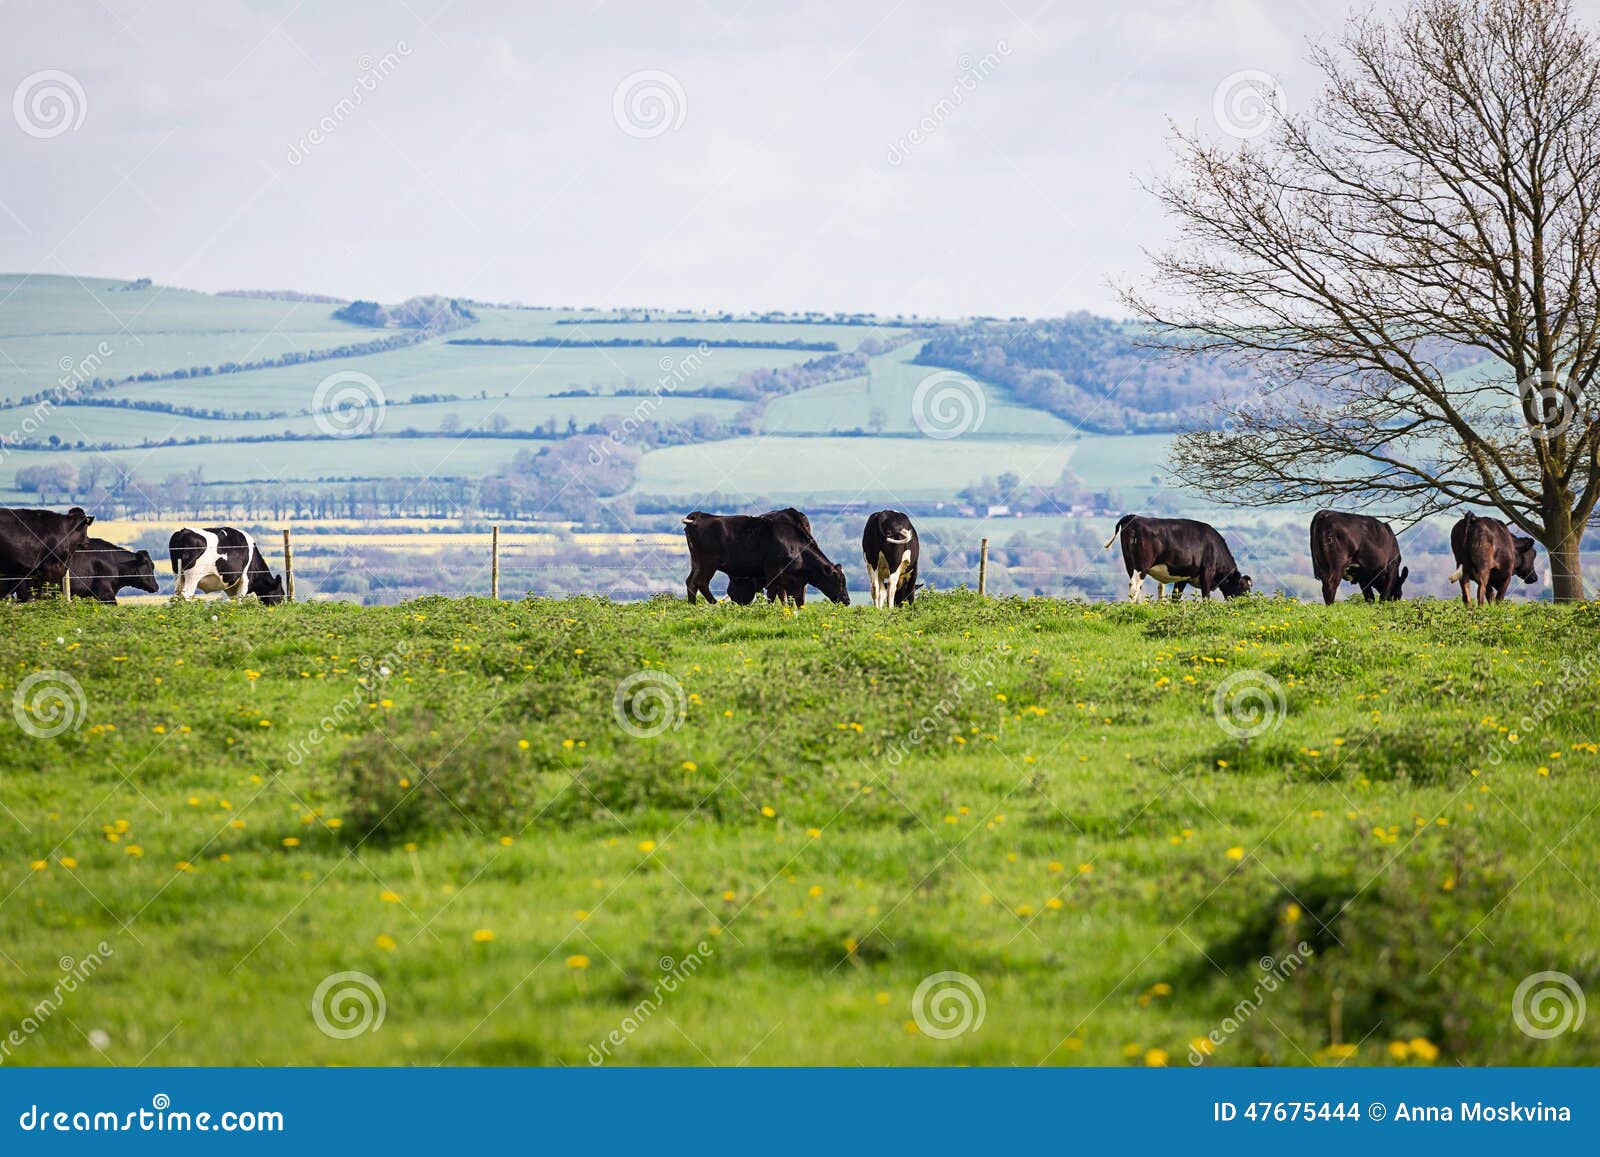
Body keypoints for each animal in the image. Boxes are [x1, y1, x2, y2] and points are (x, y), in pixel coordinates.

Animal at [682, 508, 849, 605]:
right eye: (840, 581)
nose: (847, 600)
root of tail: (698, 516)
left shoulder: (796, 582)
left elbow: (796, 600)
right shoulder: (773, 575)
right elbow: (773, 597)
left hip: (696, 562)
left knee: (690, 582)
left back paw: (692, 606)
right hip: (708, 563)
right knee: (700, 582)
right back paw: (714, 604)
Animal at [1104, 514, 1252, 601]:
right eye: (1244, 589)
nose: (1243, 607)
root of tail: (1133, 517)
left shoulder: (1184, 577)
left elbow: (1175, 597)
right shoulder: (1207, 573)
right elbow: (1206, 597)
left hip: (1129, 563)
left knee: (1136, 587)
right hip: (1141, 565)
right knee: (1134, 585)